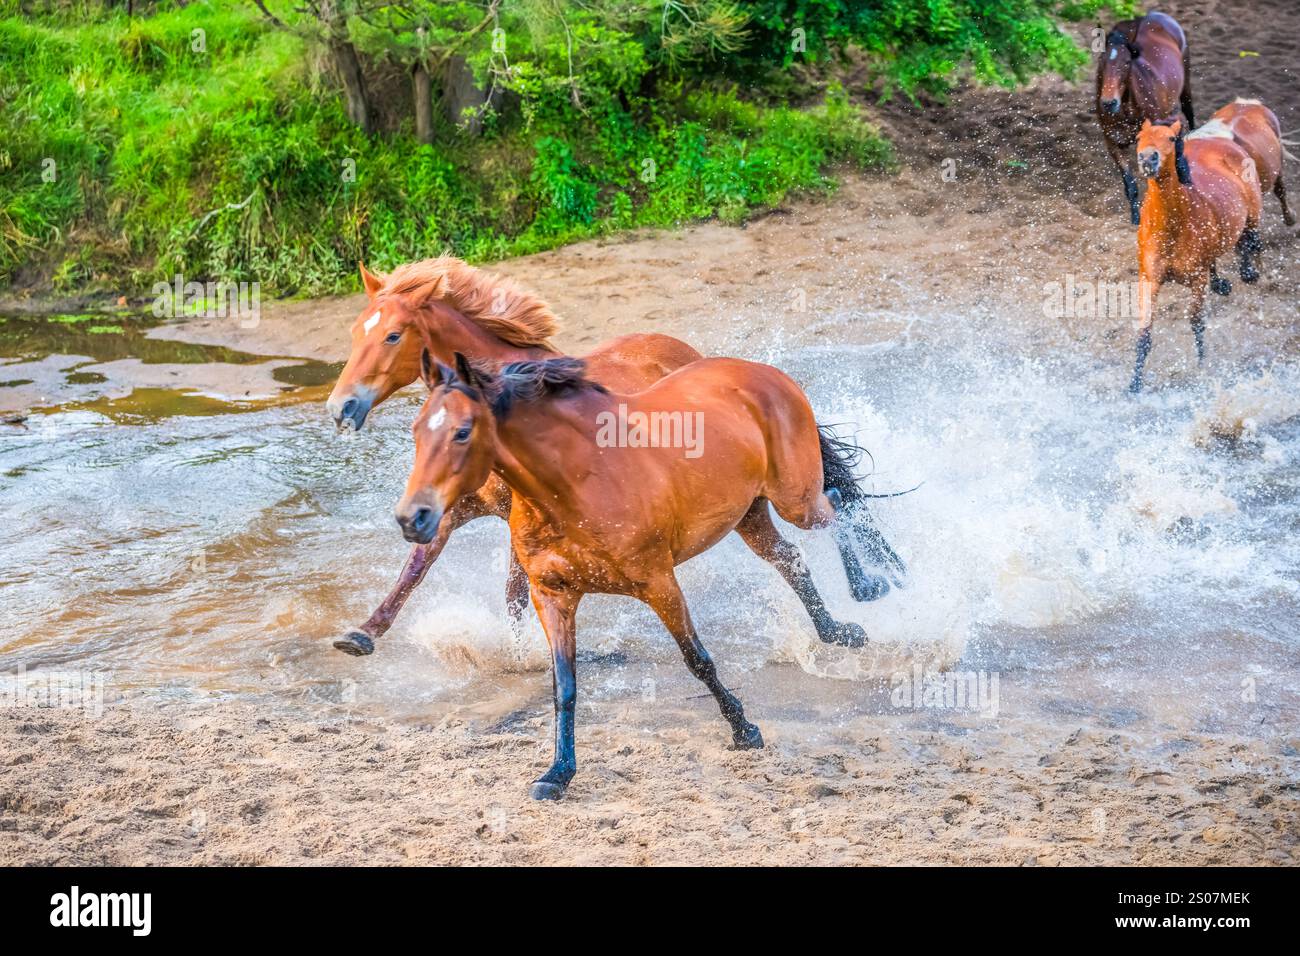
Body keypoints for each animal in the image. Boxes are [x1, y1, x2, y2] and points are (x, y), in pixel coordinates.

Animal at [325, 258, 904, 655]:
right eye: (353, 332)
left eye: (392, 335)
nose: (340, 407)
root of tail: (698, 355)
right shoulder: (455, 506)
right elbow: (416, 566)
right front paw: (362, 633)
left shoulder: (519, 518)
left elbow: (512, 589)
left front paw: (520, 651)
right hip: (748, 504)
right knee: (793, 547)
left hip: (778, 496)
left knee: (831, 502)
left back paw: (870, 583)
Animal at [396, 350, 897, 800]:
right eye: (417, 431)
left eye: (462, 432)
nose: (412, 518)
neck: (573, 482)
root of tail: (763, 372)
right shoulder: (552, 595)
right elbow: (564, 686)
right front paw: (556, 774)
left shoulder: (658, 583)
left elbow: (698, 660)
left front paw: (744, 731)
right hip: (749, 514)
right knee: (791, 558)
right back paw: (837, 630)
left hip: (795, 498)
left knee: (837, 504)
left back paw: (869, 585)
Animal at [1096, 12, 1195, 225]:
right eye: (1101, 62)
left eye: (1126, 63)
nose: (1109, 103)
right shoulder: (1113, 143)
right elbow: (1130, 184)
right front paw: (1136, 217)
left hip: (1186, 84)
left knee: (1189, 116)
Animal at [1129, 117, 1263, 393]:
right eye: (1138, 137)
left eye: (1170, 138)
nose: (1148, 159)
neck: (1171, 226)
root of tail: (1220, 137)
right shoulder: (1149, 279)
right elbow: (1145, 332)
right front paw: (1134, 385)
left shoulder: (1196, 280)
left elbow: (1196, 322)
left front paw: (1202, 366)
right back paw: (1221, 283)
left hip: (1254, 214)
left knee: (1248, 240)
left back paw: (1247, 272)